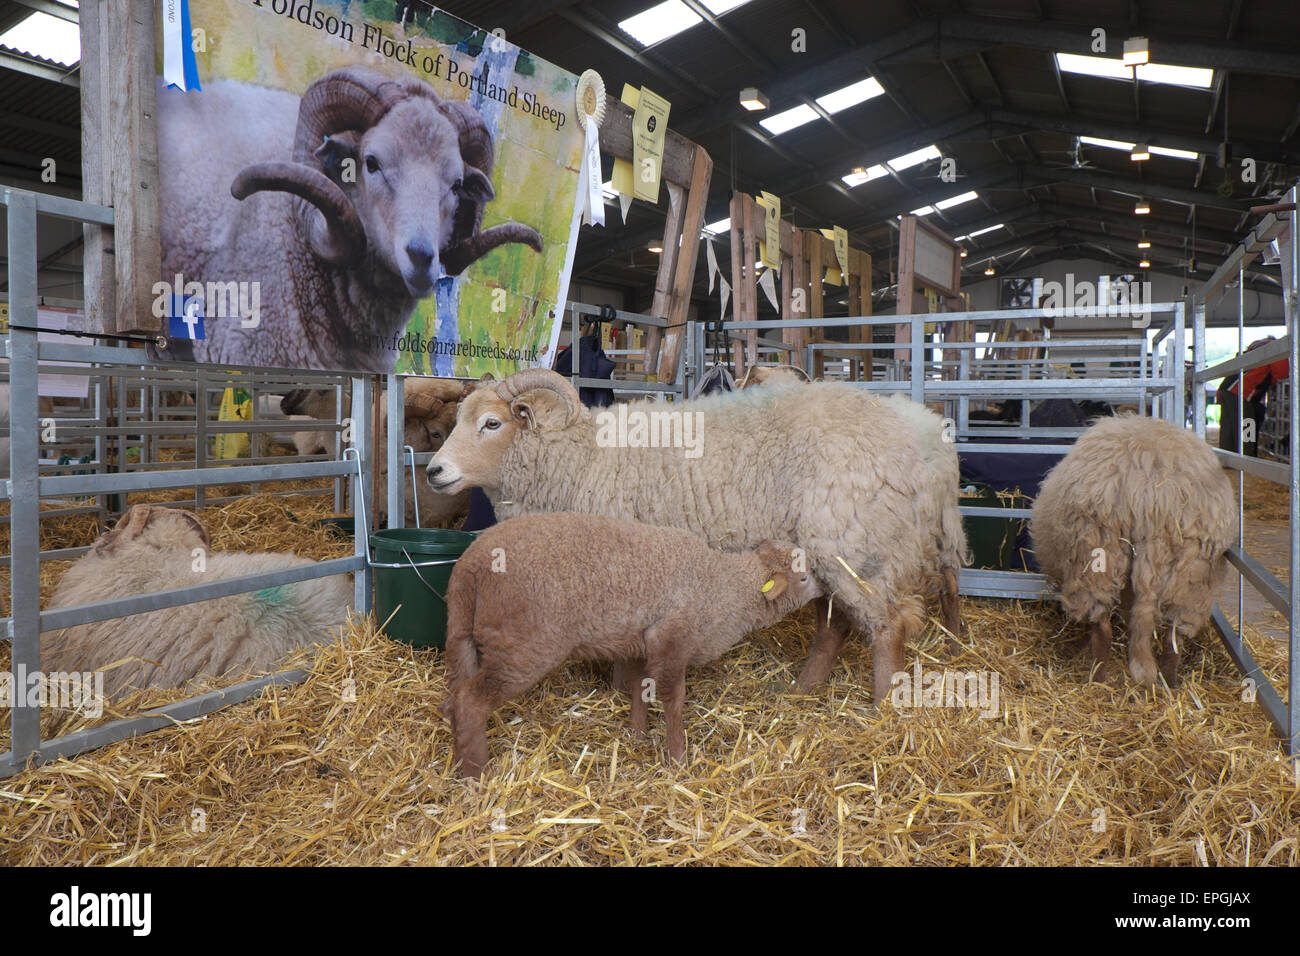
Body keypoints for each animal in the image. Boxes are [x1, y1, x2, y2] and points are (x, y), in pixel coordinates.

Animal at [426, 369, 938, 703]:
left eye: (492, 423)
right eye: (455, 421)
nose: (434, 472)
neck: (580, 457)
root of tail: (911, 430)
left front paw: (622, 689)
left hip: (854, 543)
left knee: (890, 623)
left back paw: (883, 707)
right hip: (831, 549)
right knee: (835, 624)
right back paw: (802, 687)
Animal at [440, 513, 824, 776]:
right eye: (804, 577)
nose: (825, 591)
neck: (723, 586)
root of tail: (471, 566)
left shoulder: (641, 642)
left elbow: (641, 687)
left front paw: (637, 736)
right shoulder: (671, 638)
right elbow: (673, 699)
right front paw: (677, 757)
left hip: (462, 635)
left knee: (455, 697)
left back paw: (459, 761)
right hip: (520, 648)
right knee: (471, 699)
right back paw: (477, 774)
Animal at [1029, 415, 1237, 687]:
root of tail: (1153, 496)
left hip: (1097, 552)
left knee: (1102, 624)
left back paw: (1097, 678)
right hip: (1192, 570)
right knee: (1173, 632)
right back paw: (1169, 680)